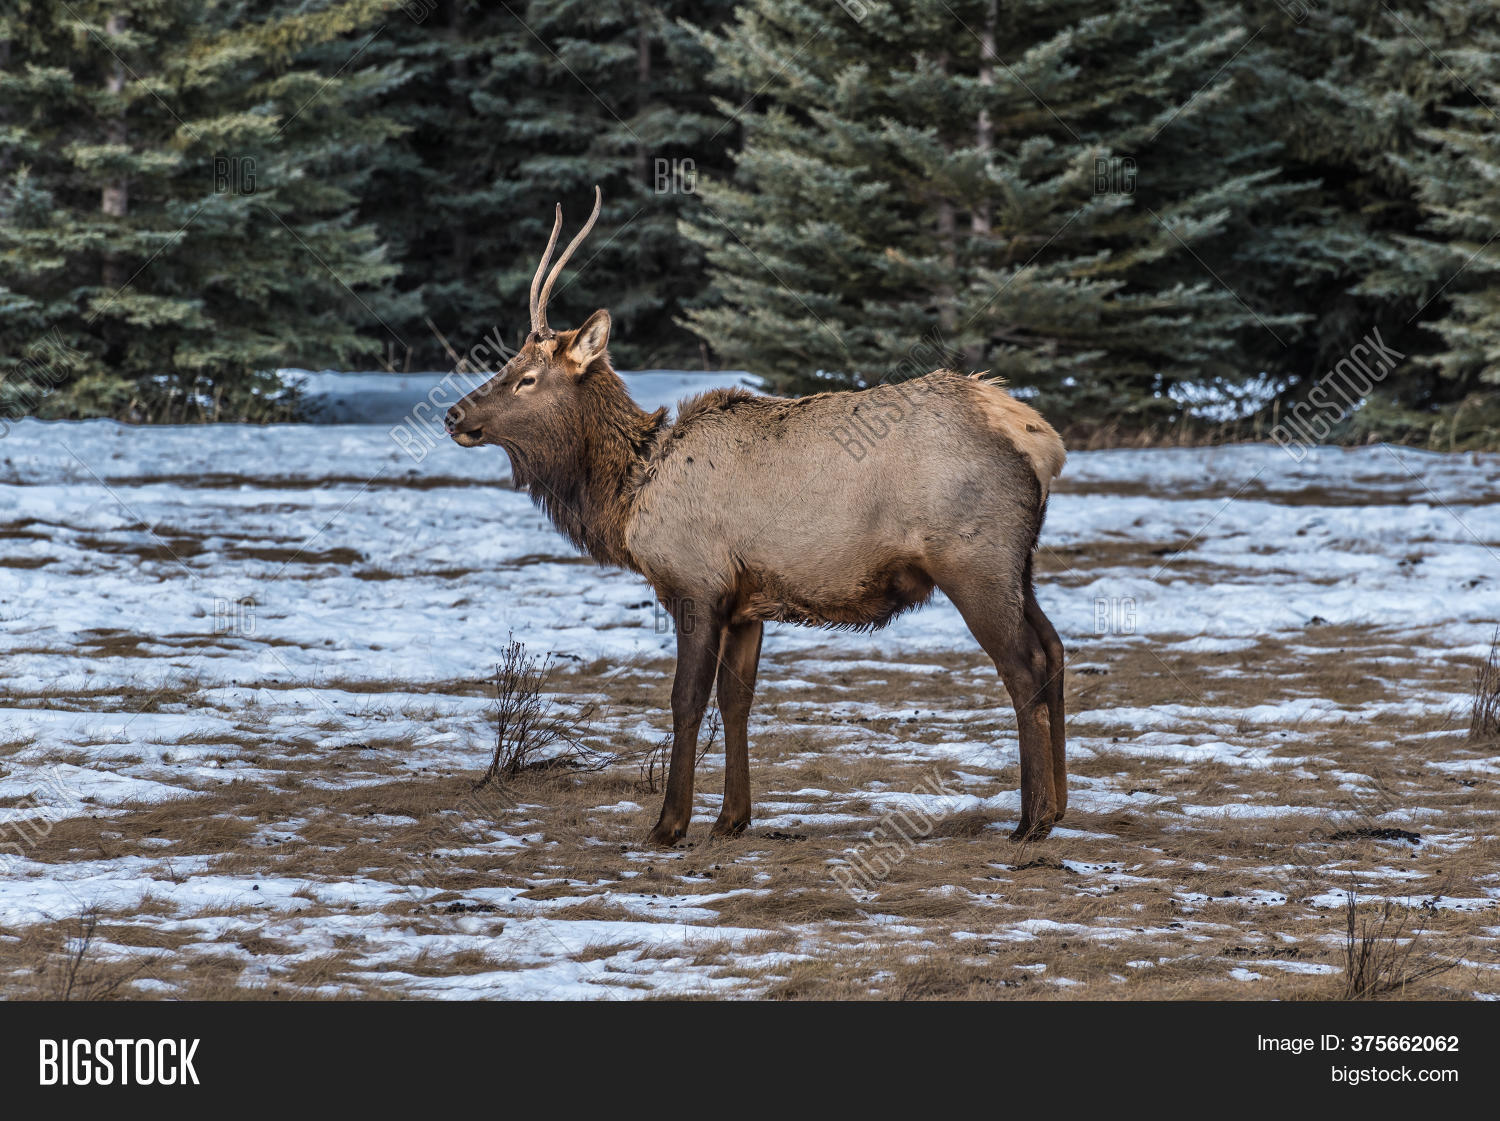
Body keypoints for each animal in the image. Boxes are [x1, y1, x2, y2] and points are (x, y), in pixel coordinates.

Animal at [446, 187, 1069, 845]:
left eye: (526, 377)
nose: (453, 414)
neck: (629, 493)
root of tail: (1041, 441)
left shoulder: (695, 582)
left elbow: (686, 699)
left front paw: (669, 824)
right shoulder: (747, 603)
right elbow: (736, 699)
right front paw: (732, 818)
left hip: (972, 560)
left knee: (1024, 665)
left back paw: (1030, 820)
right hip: (1019, 564)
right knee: (1054, 650)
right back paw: (1058, 807)